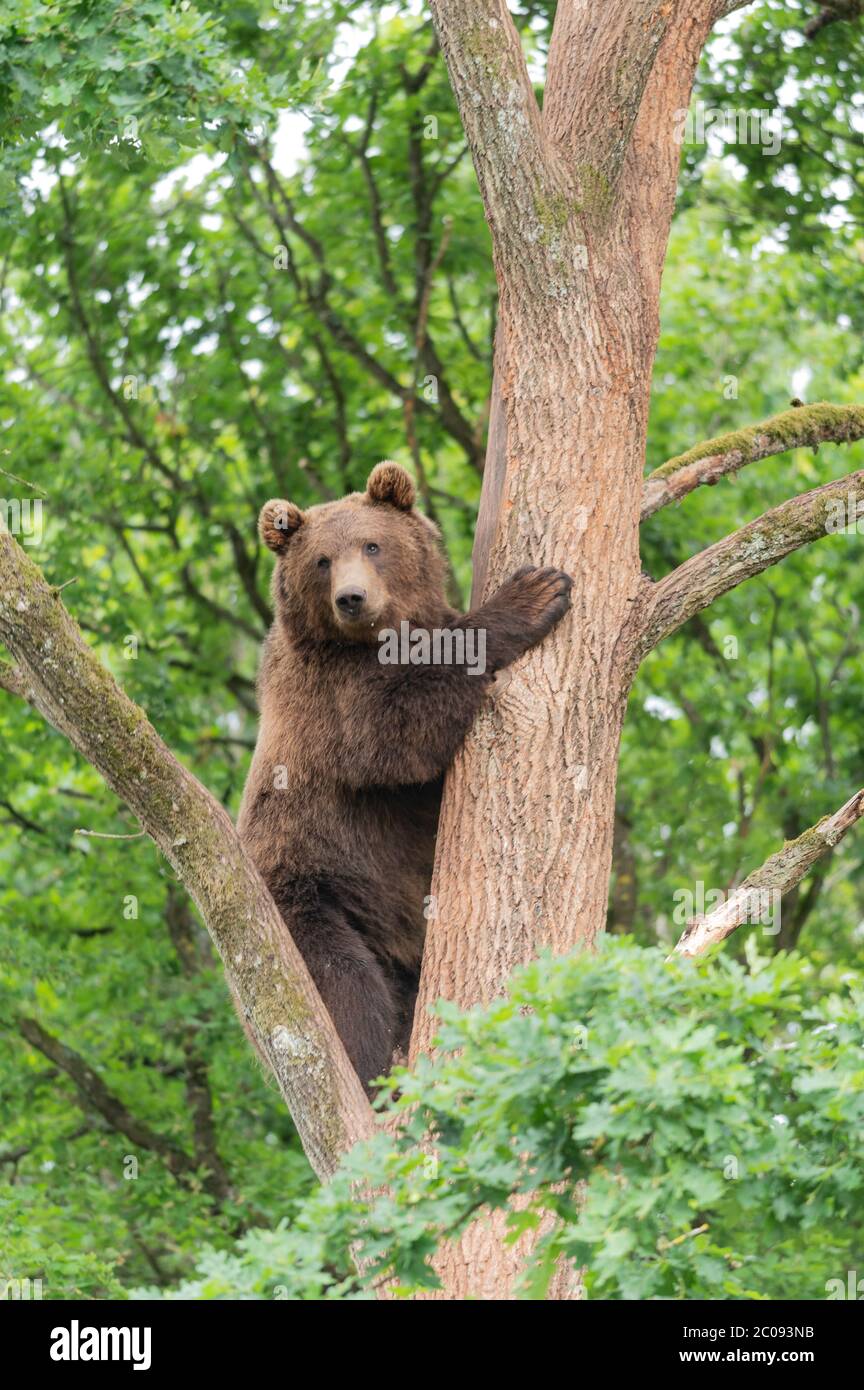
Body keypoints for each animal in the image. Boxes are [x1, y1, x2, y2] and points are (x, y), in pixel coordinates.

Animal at [237, 461, 572, 1089]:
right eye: (322, 560)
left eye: (372, 544)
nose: (352, 597)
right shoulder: (331, 698)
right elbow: (396, 735)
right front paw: (535, 593)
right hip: (304, 897)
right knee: (344, 988)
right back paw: (375, 1074)